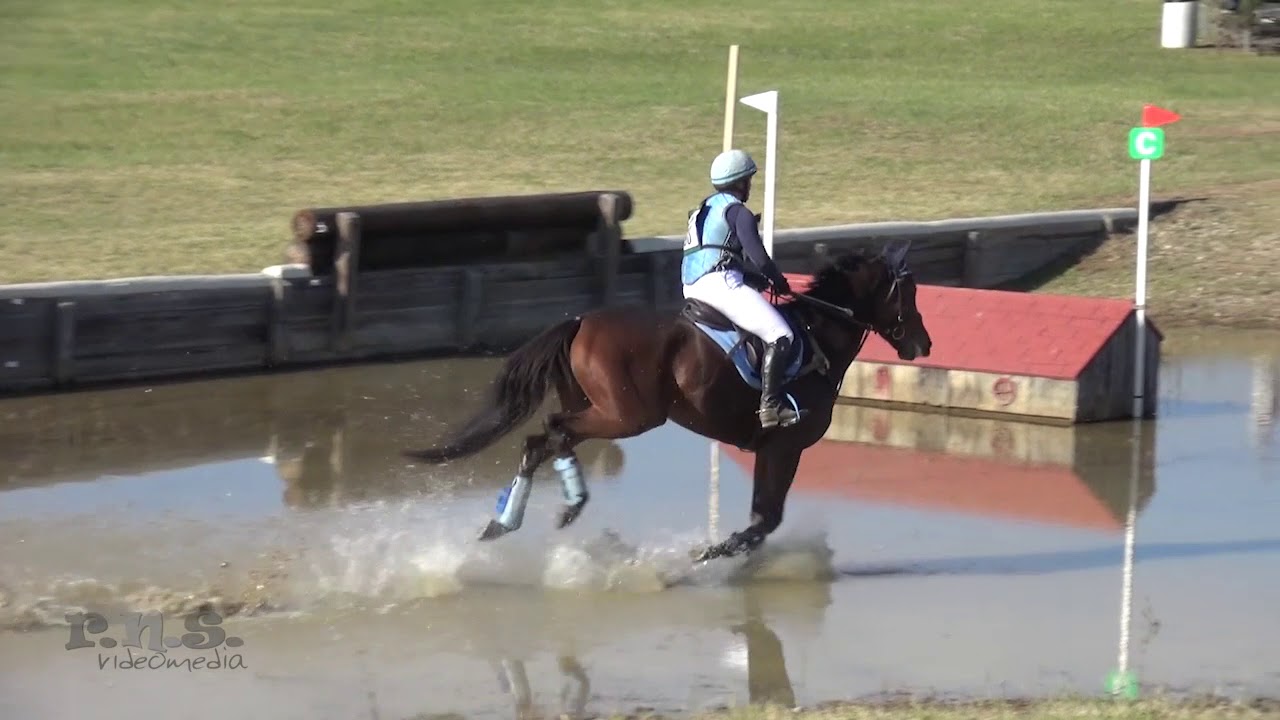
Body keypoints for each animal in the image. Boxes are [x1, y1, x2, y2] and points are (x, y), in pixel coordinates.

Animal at [403, 240, 933, 562]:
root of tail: (580, 321)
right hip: (628, 416)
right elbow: (766, 519)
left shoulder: (772, 449)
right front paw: (710, 554)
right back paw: (560, 507)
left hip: (601, 408)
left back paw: (513, 521)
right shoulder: (785, 446)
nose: (922, 343)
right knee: (552, 430)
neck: (819, 334)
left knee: (543, 440)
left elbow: (764, 518)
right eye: (907, 291)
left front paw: (724, 553)